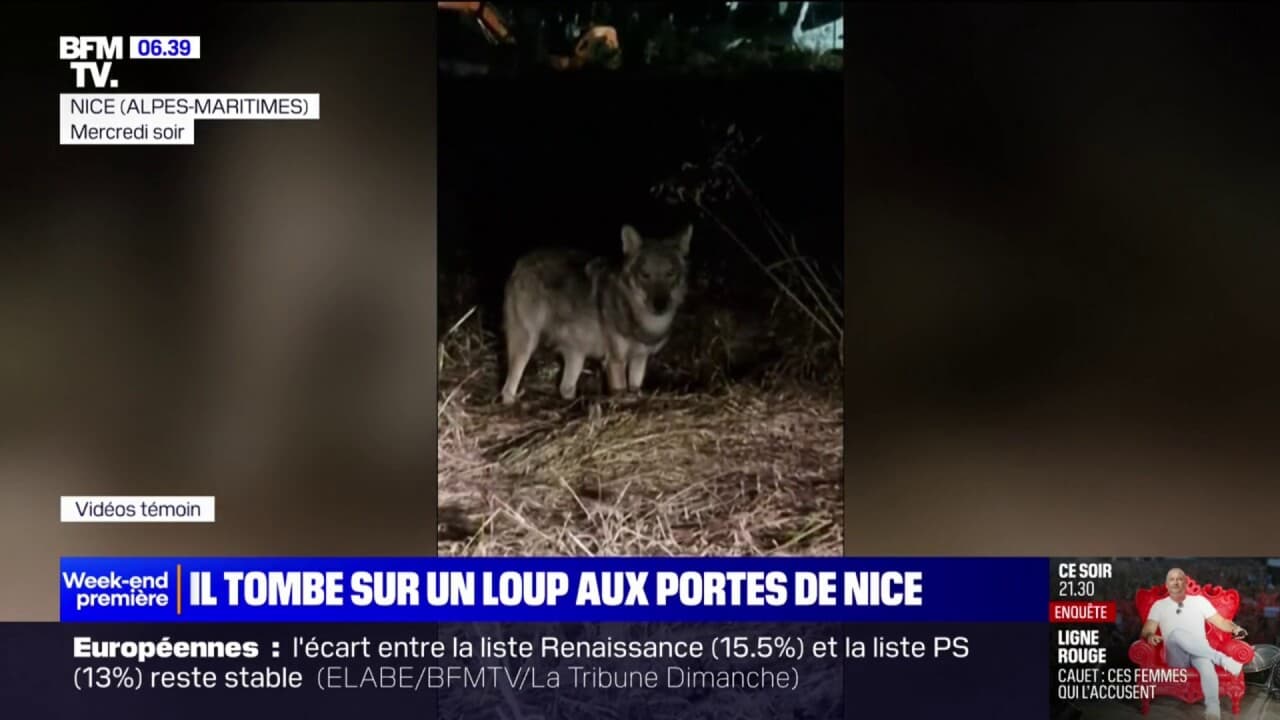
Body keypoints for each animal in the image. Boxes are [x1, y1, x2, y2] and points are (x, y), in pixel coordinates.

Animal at [500, 224, 693, 404]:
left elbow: (635, 388)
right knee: (508, 388)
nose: (660, 305)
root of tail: (522, 261)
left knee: (565, 387)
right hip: (526, 346)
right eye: (645, 275)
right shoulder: (615, 361)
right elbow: (620, 391)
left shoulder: (640, 359)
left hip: (576, 355)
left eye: (670, 273)